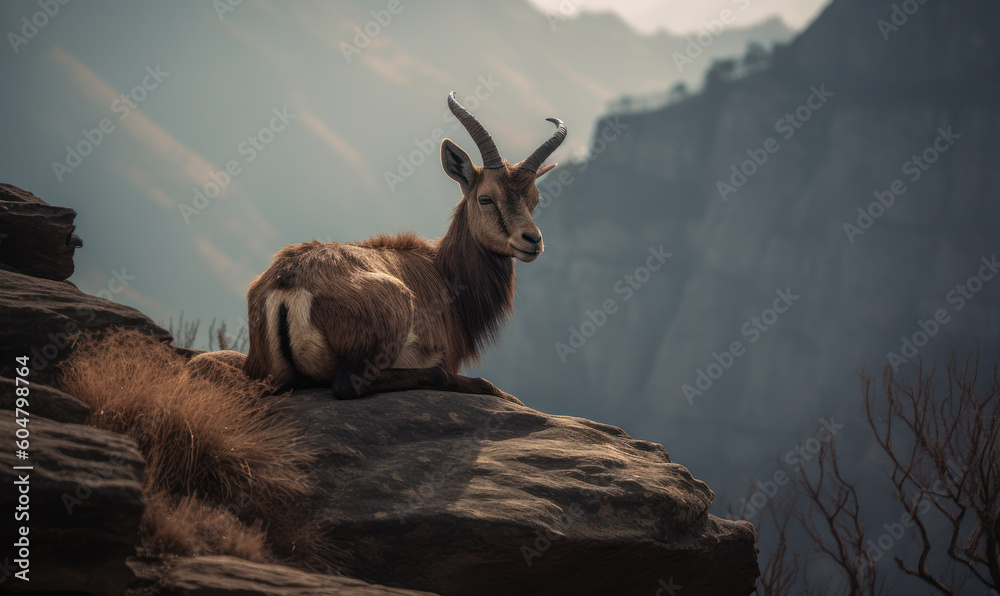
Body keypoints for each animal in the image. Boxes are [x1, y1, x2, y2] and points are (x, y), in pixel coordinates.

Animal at [243, 92, 566, 400]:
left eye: (534, 199)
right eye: (485, 198)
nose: (531, 240)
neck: (442, 271)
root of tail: (288, 284)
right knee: (355, 383)